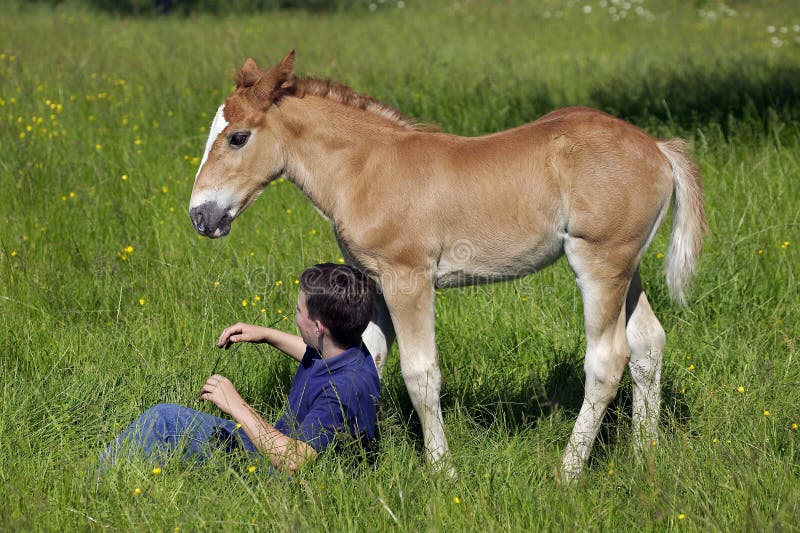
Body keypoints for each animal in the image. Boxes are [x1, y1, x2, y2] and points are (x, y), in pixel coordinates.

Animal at [188, 50, 706, 480]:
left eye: (238, 137)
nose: (200, 216)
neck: (367, 168)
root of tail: (658, 148)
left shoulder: (408, 280)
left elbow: (420, 375)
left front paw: (441, 470)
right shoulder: (374, 283)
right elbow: (366, 360)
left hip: (599, 263)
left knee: (607, 358)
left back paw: (570, 471)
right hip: (627, 269)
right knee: (648, 343)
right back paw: (644, 455)